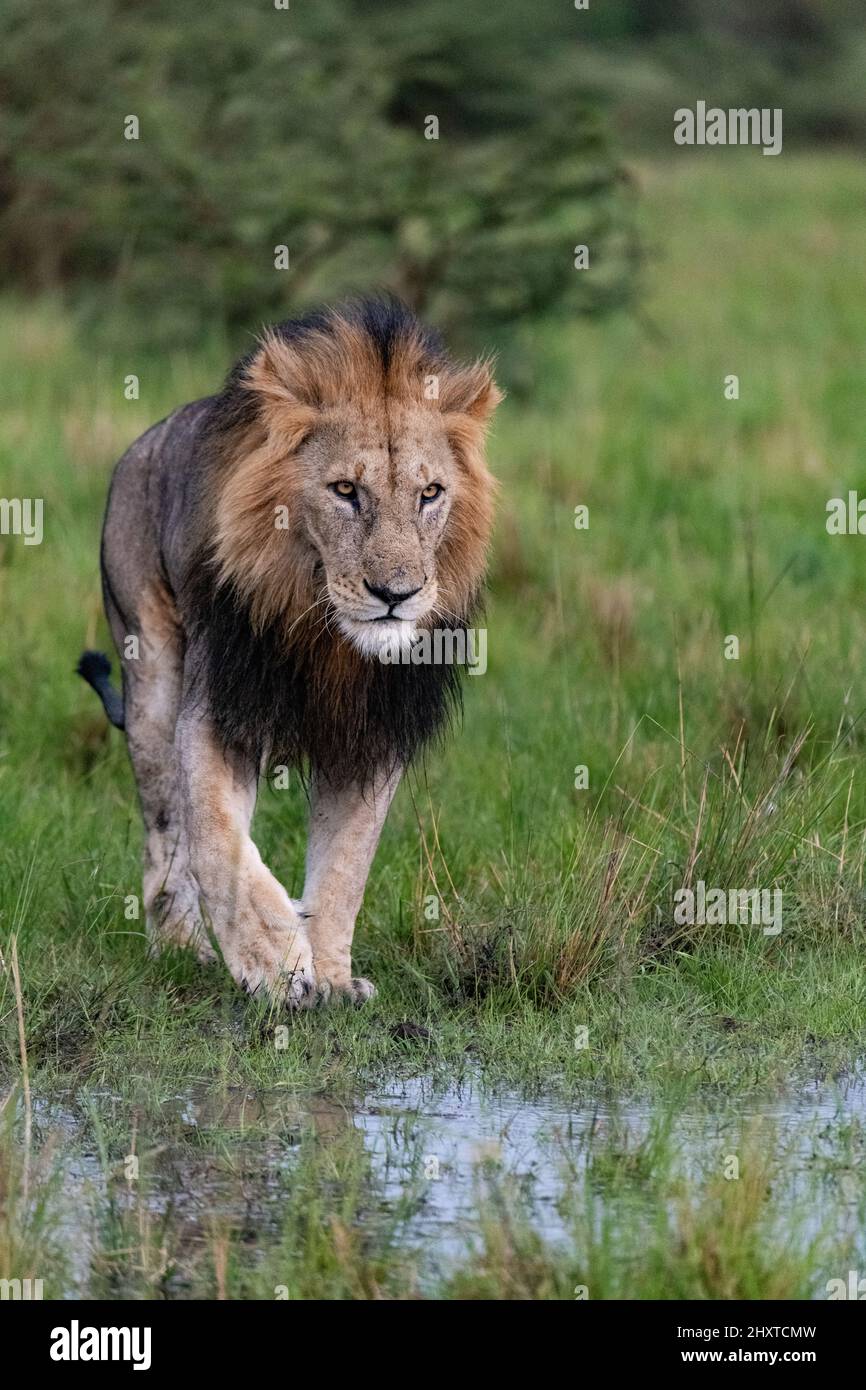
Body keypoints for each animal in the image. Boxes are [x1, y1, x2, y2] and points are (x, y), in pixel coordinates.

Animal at [78, 298, 501, 1005]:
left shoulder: (370, 738)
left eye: (430, 494)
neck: (329, 636)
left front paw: (330, 977)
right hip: (149, 676)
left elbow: (345, 868)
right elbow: (217, 841)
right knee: (166, 835)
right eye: (345, 491)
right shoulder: (219, 710)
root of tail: (145, 442)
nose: (397, 594)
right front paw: (274, 961)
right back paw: (181, 949)